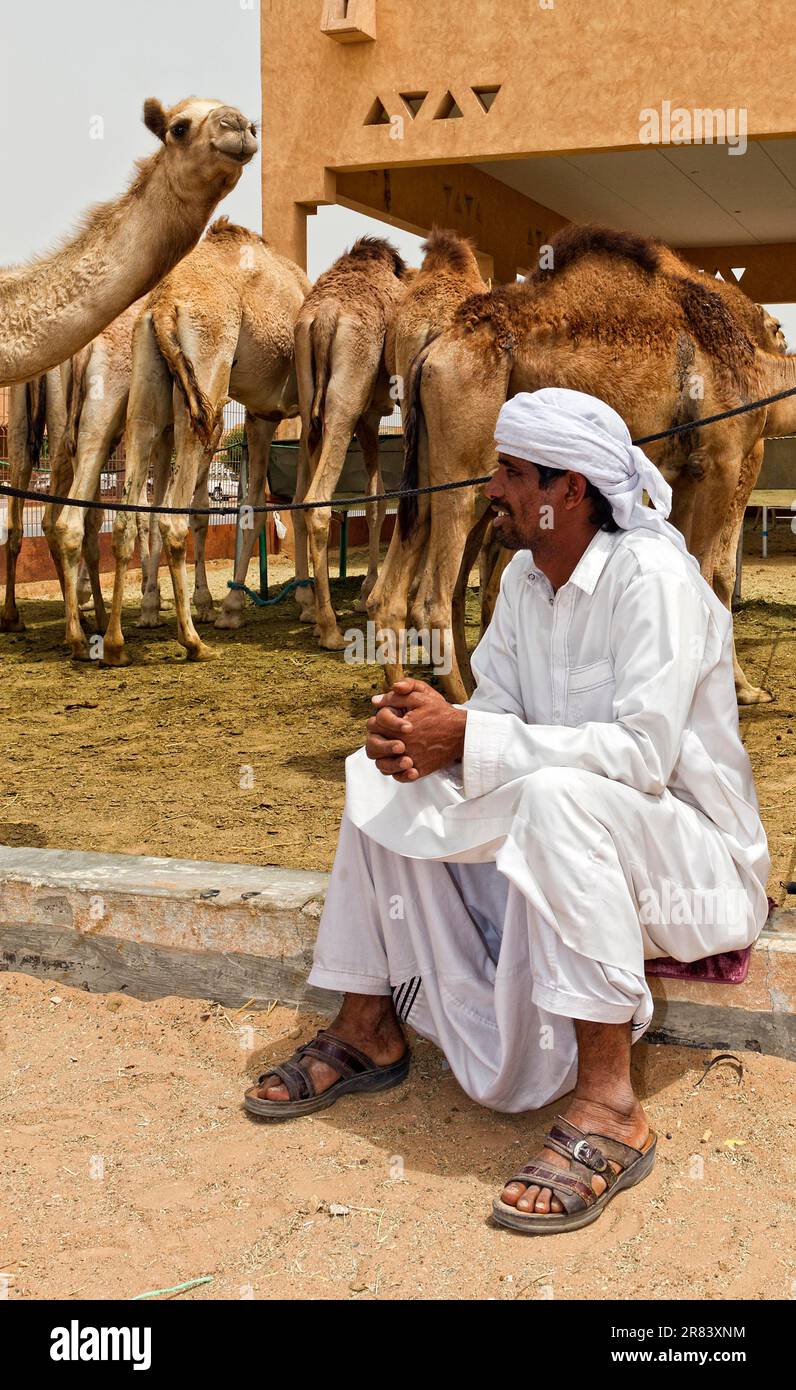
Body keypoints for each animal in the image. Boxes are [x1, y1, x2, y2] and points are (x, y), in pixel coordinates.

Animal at [101, 219, 309, 666]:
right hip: (206, 370)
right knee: (171, 518)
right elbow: (299, 500)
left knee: (129, 513)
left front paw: (233, 608)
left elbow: (254, 503)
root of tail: (164, 307)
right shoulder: (297, 406)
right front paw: (306, 603)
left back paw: (115, 643)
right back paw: (193, 641)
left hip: (150, 381)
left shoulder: (261, 413)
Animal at [294, 237, 408, 648]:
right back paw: (330, 629)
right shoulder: (376, 412)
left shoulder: (368, 419)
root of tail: (326, 316)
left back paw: (315, 615)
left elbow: (375, 499)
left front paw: (366, 592)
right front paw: (371, 593)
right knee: (316, 503)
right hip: (345, 402)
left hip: (311, 405)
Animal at [369, 224, 796, 703]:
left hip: (428, 468)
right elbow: (713, 572)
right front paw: (743, 691)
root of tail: (433, 354)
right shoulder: (722, 459)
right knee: (433, 598)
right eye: (779, 329)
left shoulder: (683, 473)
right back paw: (464, 703)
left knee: (393, 590)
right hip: (465, 458)